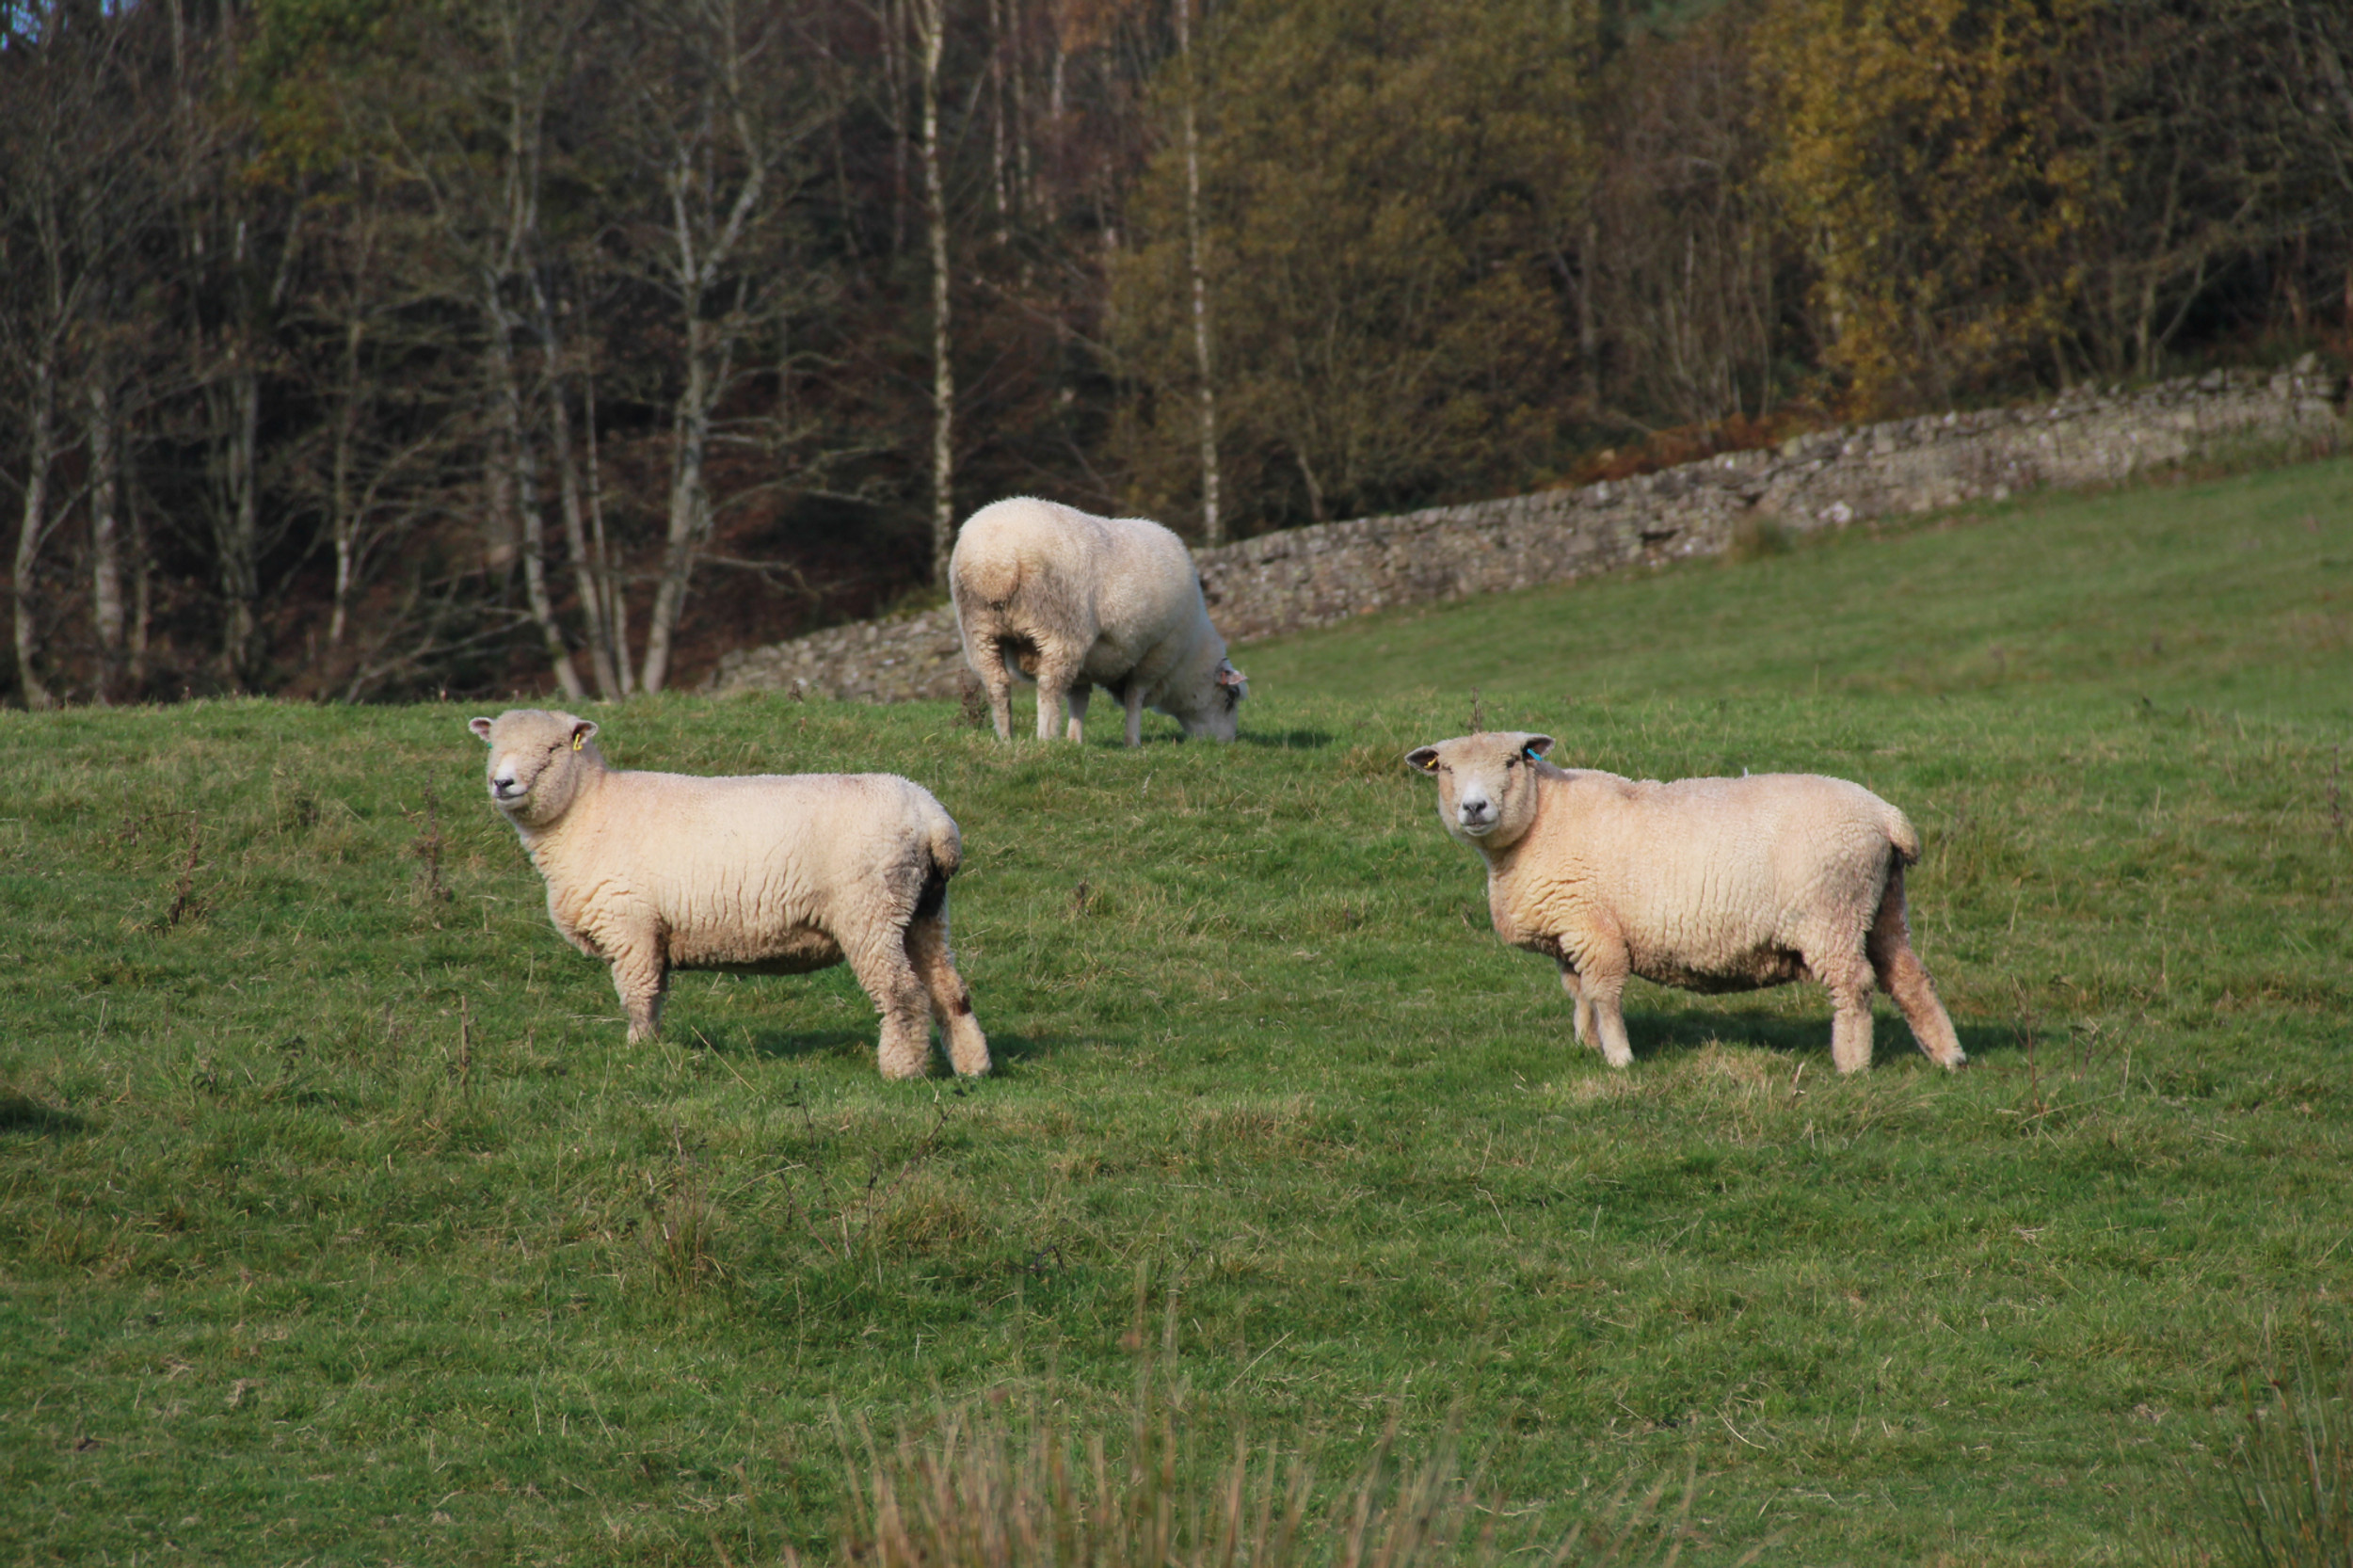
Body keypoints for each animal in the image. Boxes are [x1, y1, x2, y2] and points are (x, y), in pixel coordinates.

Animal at [468, 709, 990, 1079]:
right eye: (493, 746)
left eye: (554, 747)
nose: (502, 782)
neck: (586, 809)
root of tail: (932, 816)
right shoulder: (654, 933)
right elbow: (656, 996)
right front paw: (652, 1050)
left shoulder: (630, 925)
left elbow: (638, 998)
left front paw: (638, 1055)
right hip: (924, 909)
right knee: (950, 989)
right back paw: (973, 1066)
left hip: (871, 910)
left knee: (903, 992)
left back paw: (902, 1070)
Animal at [950, 496, 1248, 745]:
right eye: (1229, 699)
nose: (1226, 743)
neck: (1189, 655)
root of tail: (996, 562)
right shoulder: (1154, 655)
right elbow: (1134, 698)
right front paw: (1132, 742)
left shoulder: (1087, 665)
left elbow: (1079, 700)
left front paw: (1075, 741)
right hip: (1061, 629)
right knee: (1049, 688)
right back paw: (1046, 738)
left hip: (979, 630)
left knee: (997, 683)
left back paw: (1006, 740)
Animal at [1405, 731, 1964, 1073]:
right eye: (1445, 769)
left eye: (1510, 760)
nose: (1474, 807)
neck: (1541, 820)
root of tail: (1886, 816)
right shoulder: (1569, 931)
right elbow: (1579, 996)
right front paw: (1586, 1047)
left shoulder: (1594, 929)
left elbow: (1604, 993)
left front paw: (1619, 1059)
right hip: (1882, 904)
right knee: (1910, 976)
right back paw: (1948, 1057)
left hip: (1831, 912)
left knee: (1854, 986)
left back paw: (1851, 1063)